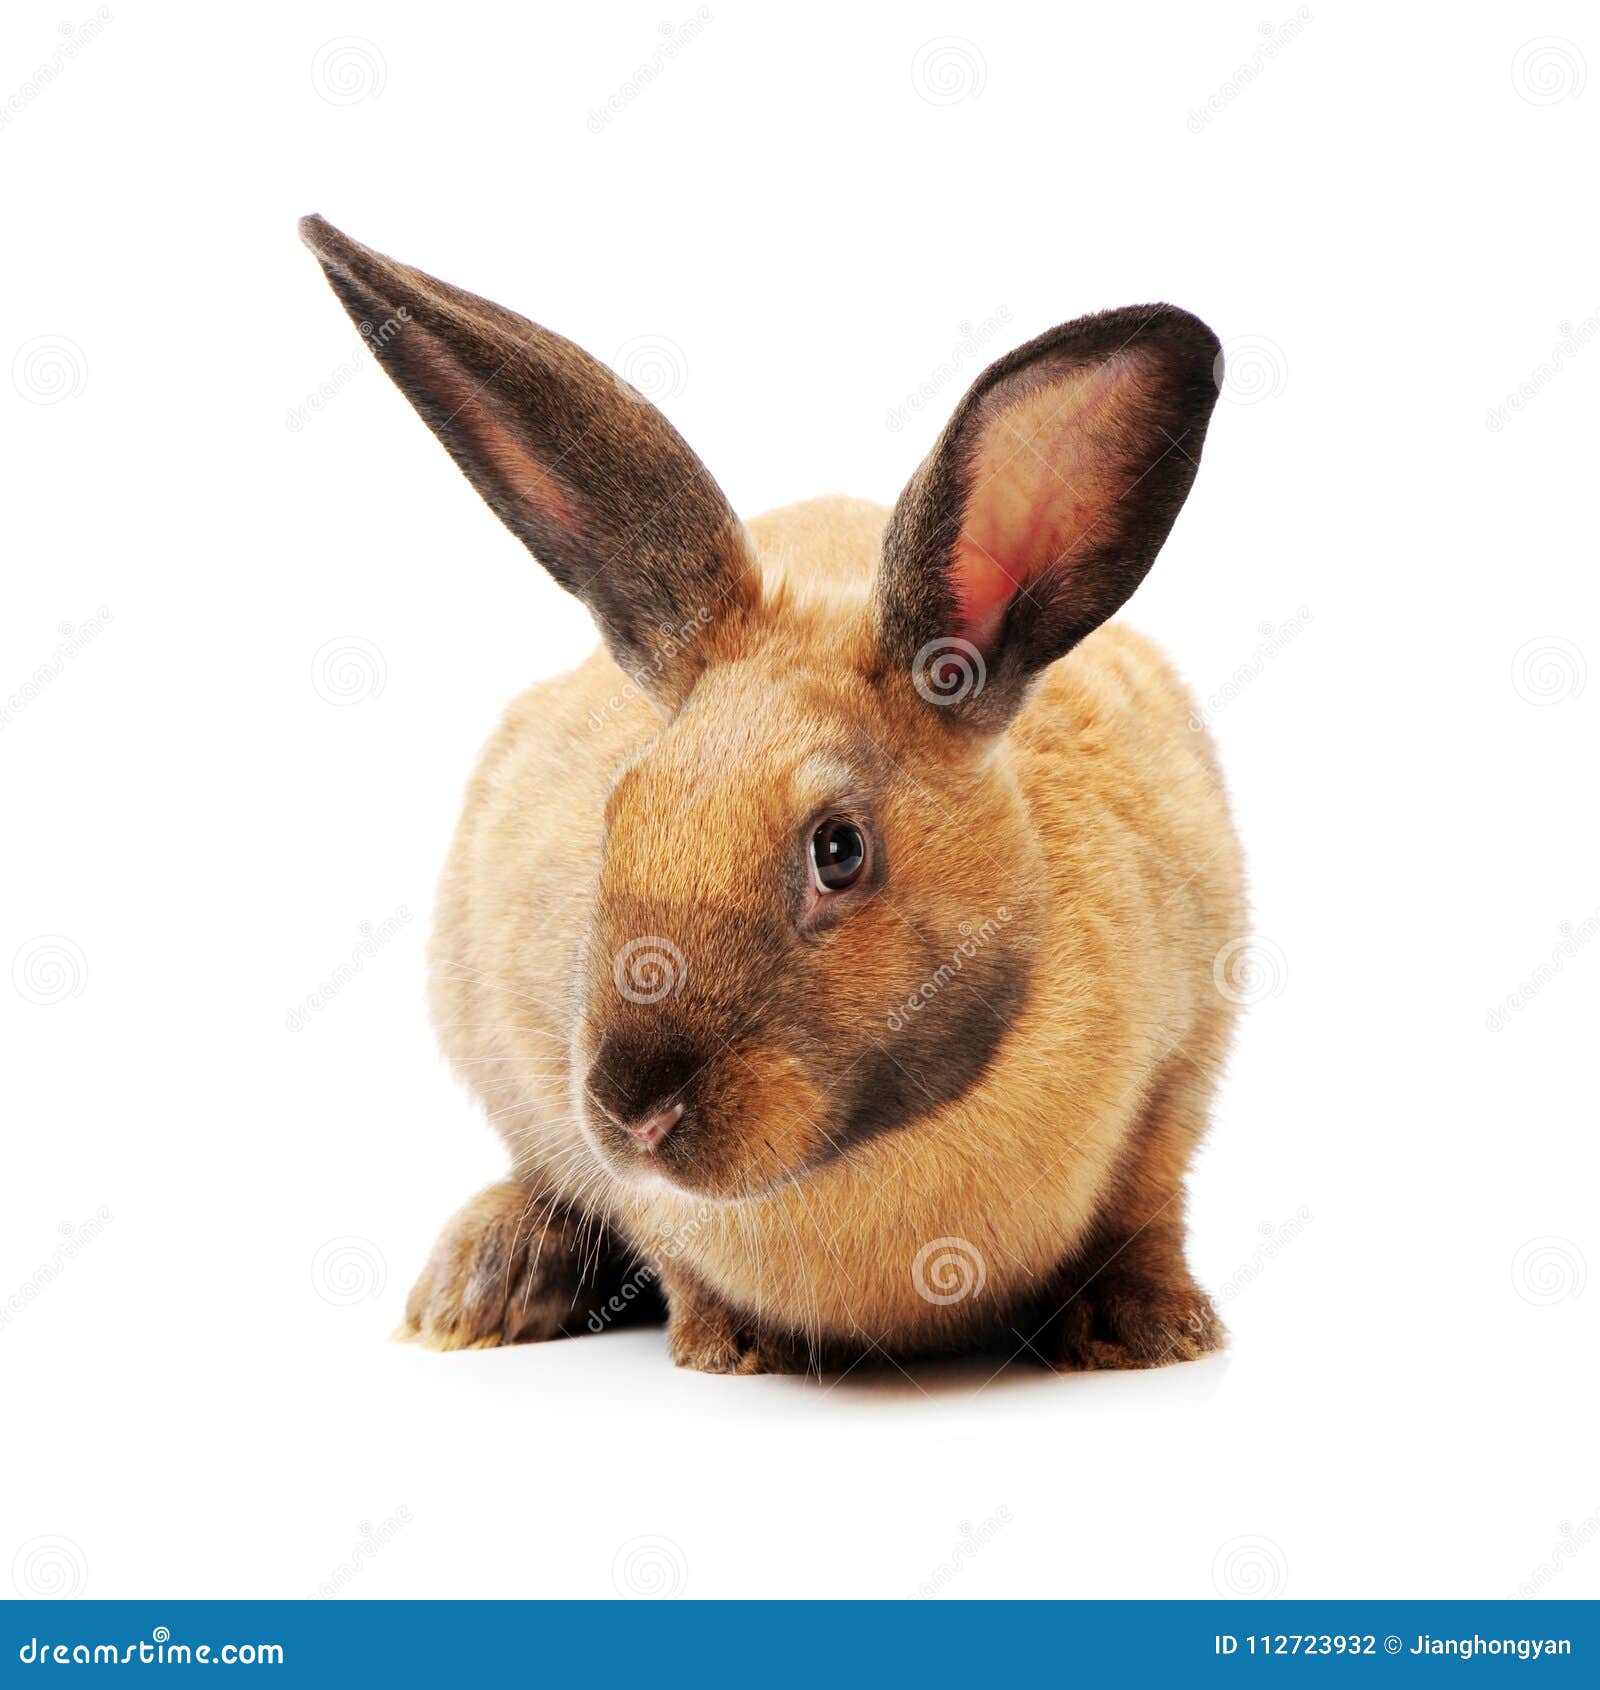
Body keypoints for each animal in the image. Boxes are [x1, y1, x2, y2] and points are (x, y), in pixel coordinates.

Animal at [300, 214, 1245, 1374]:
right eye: (616, 820)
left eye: (839, 850)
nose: (635, 1114)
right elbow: (671, 1251)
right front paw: (730, 1342)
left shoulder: (1183, 1065)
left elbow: (1146, 1210)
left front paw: (1153, 1331)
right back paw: (482, 1286)